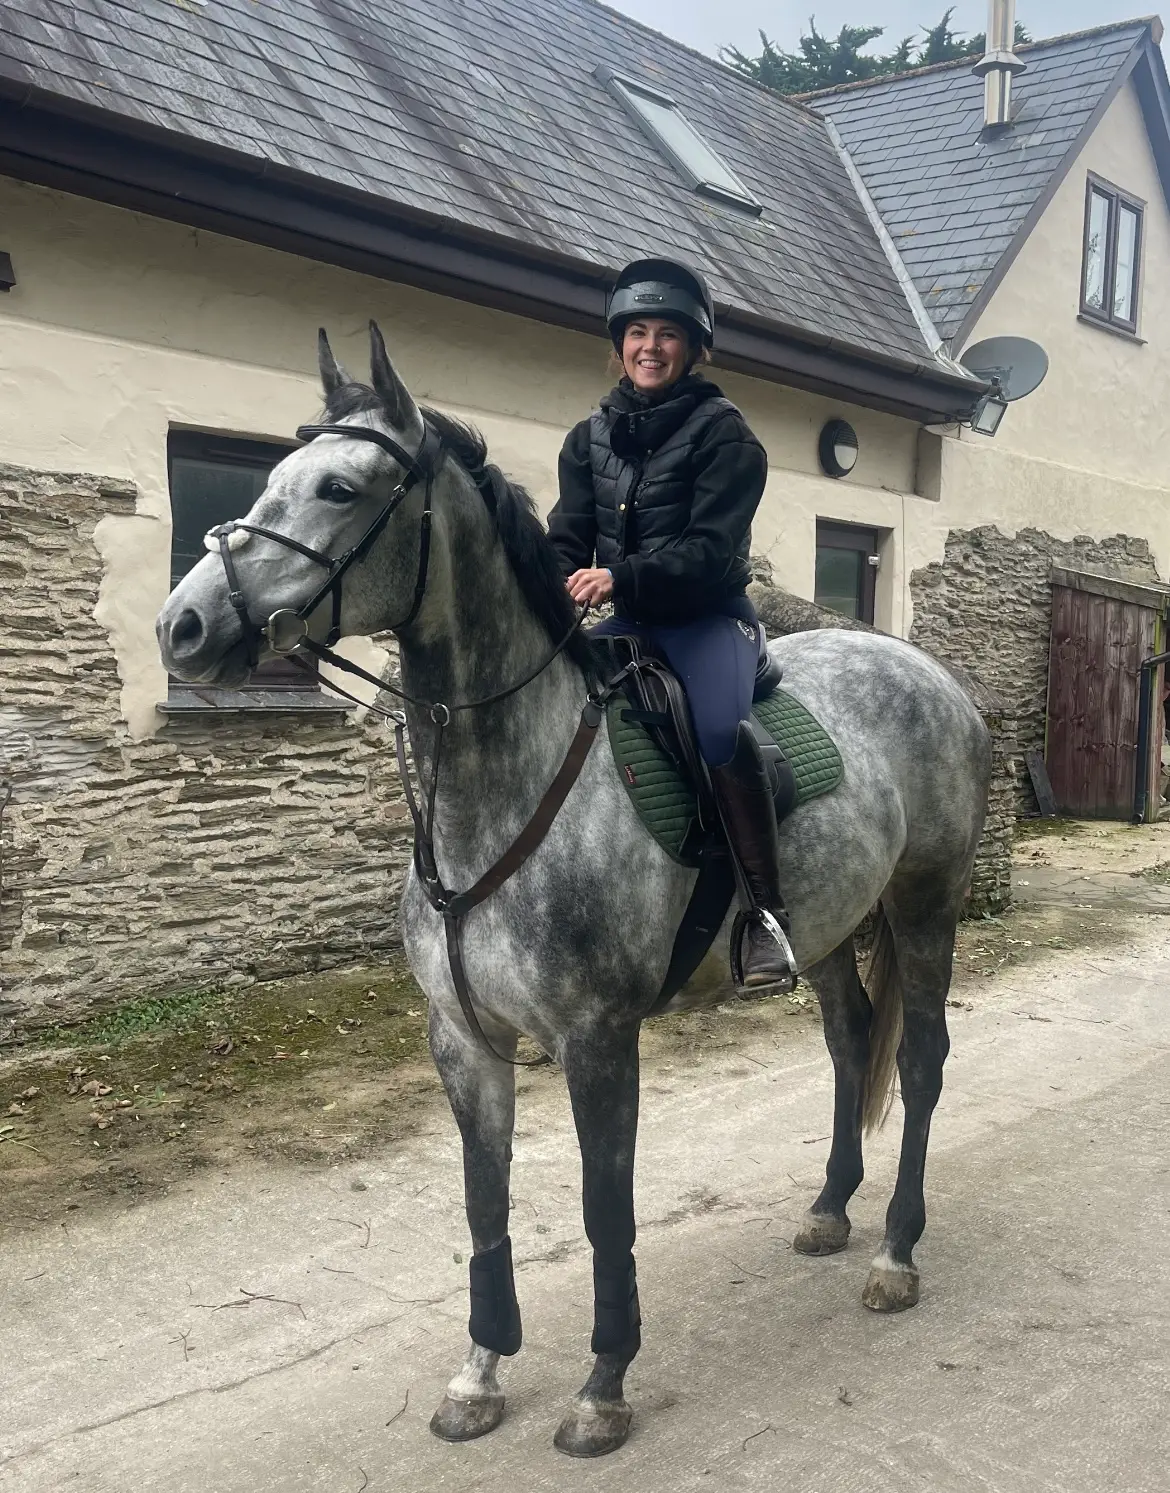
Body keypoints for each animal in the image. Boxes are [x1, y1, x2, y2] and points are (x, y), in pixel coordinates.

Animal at [157, 324, 991, 1458]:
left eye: (337, 486)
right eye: (269, 475)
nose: (185, 626)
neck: (501, 788)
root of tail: (935, 674)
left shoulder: (598, 1037)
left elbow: (605, 1209)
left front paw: (602, 1384)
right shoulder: (462, 1041)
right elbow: (484, 1203)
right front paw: (479, 1373)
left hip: (923, 904)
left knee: (920, 1057)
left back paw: (896, 1252)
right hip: (824, 928)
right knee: (852, 1039)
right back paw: (829, 1208)